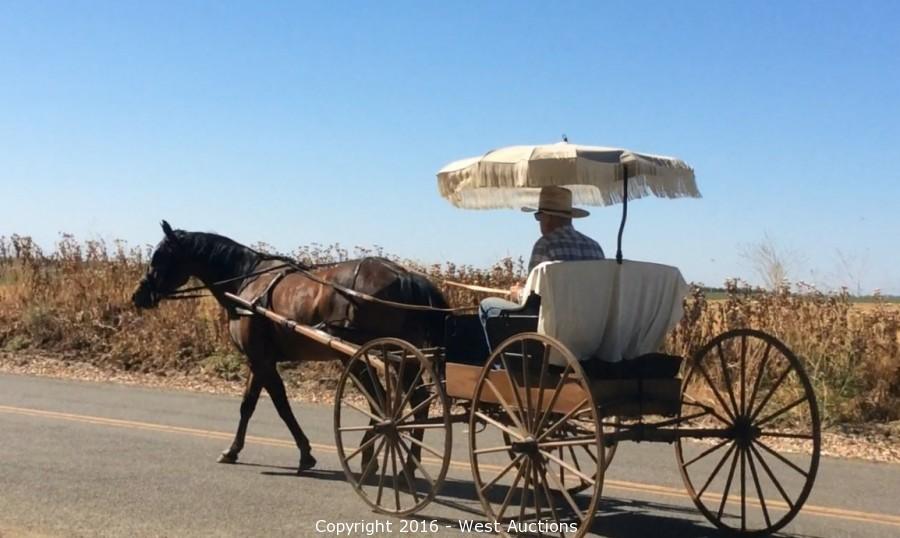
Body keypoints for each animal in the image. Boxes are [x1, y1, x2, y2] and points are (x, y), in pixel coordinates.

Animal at [131, 221, 448, 474]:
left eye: (159, 256)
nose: (138, 295)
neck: (247, 280)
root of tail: (406, 277)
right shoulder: (258, 360)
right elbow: (248, 405)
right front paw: (233, 450)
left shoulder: (261, 360)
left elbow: (280, 405)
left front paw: (305, 453)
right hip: (403, 356)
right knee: (418, 401)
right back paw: (407, 464)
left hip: (360, 357)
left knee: (382, 403)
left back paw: (371, 457)